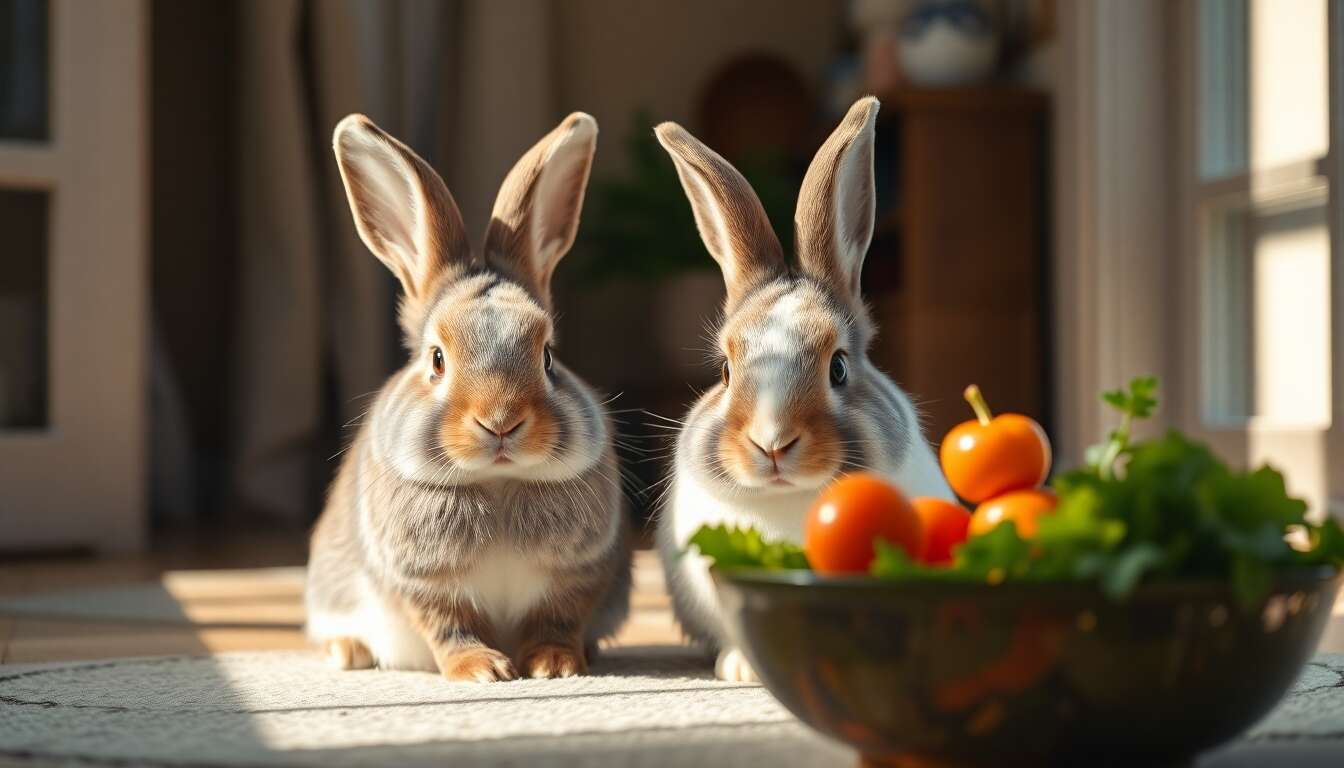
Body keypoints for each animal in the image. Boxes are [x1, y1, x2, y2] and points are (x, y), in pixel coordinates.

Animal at [305, 112, 631, 682]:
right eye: (437, 359)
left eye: (548, 356)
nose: (500, 422)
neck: (497, 481)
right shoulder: (423, 583)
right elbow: (451, 626)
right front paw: (482, 671)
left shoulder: (579, 574)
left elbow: (556, 618)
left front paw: (555, 665)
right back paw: (348, 652)